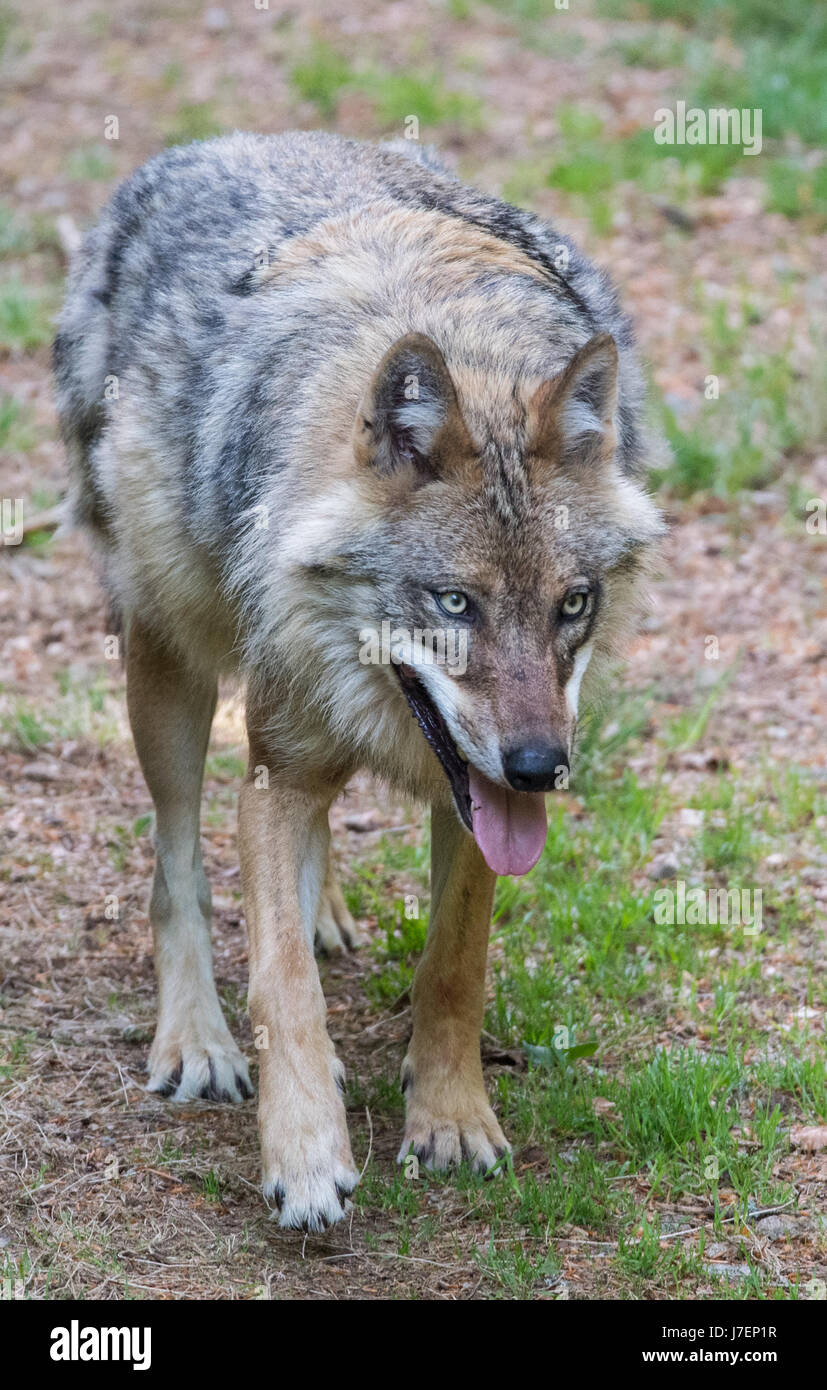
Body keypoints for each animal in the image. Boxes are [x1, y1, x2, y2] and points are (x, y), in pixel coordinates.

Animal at [54, 131, 663, 1231]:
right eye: (453, 603)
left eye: (571, 604)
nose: (540, 767)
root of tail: (216, 142)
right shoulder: (279, 780)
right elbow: (280, 983)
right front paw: (303, 1154)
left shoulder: (472, 802)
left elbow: (453, 964)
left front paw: (450, 1118)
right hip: (169, 663)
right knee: (178, 867)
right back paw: (196, 1040)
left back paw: (324, 910)